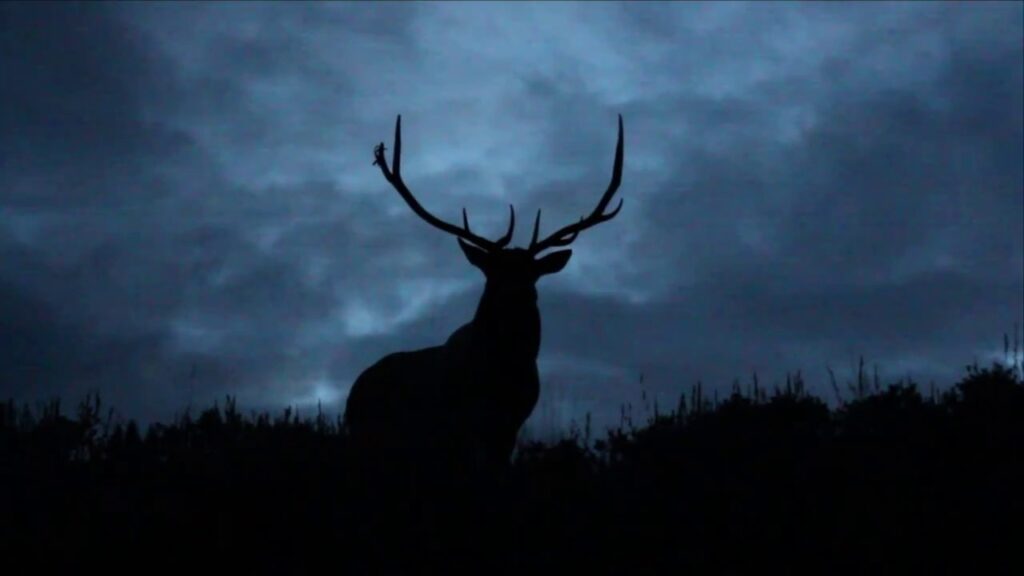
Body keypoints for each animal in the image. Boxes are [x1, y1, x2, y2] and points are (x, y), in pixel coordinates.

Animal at [343, 115, 625, 484]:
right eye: (493, 272)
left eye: (532, 273)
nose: (519, 293)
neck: (502, 371)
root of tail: (351, 395)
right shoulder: (462, 423)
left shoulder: (511, 426)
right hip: (374, 438)